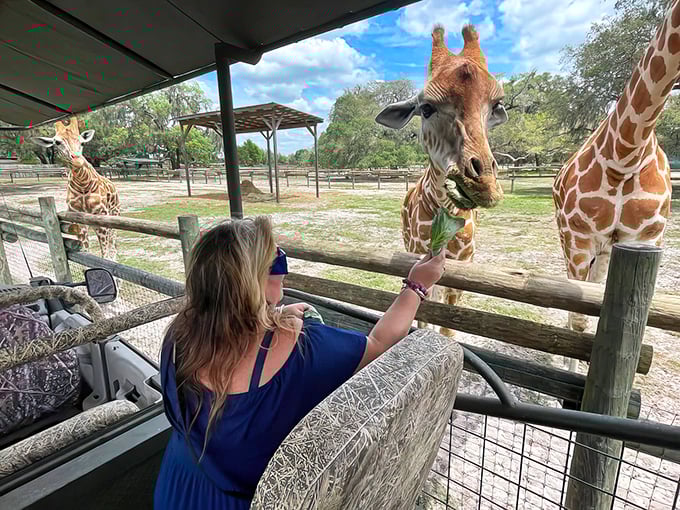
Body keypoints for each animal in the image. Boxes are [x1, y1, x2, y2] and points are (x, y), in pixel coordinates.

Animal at [31, 116, 121, 261]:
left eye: (82, 142)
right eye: (57, 142)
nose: (78, 161)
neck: (83, 185)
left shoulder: (102, 216)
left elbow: (105, 255)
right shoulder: (79, 220)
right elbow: (86, 252)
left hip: (114, 214)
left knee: (113, 244)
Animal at [375, 23, 507, 336]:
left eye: (496, 105)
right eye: (425, 108)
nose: (484, 185)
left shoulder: (463, 264)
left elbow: (448, 324)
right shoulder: (419, 252)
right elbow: (425, 313)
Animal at [553, 0, 676, 364]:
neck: (625, 155)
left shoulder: (645, 239)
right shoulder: (579, 237)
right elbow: (578, 317)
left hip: (608, 247)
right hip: (571, 240)